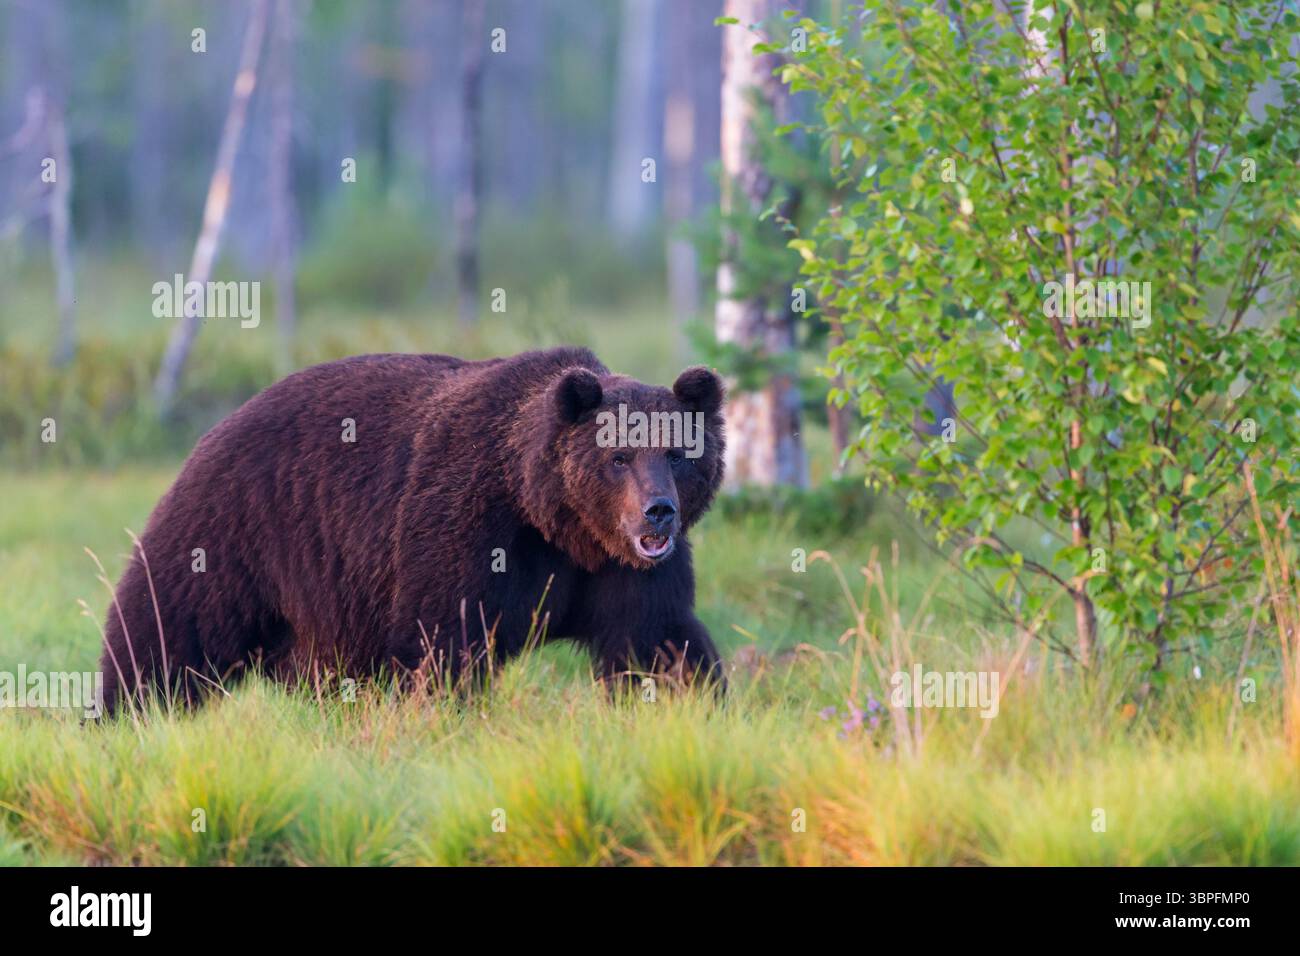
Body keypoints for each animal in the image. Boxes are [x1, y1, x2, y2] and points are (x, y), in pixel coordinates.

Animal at [98, 347, 727, 715]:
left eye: (677, 453)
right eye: (619, 456)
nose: (658, 512)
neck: (556, 520)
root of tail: (215, 427)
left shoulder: (623, 570)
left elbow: (654, 640)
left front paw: (692, 704)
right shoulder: (468, 525)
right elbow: (443, 639)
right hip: (237, 530)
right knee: (167, 625)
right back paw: (124, 711)